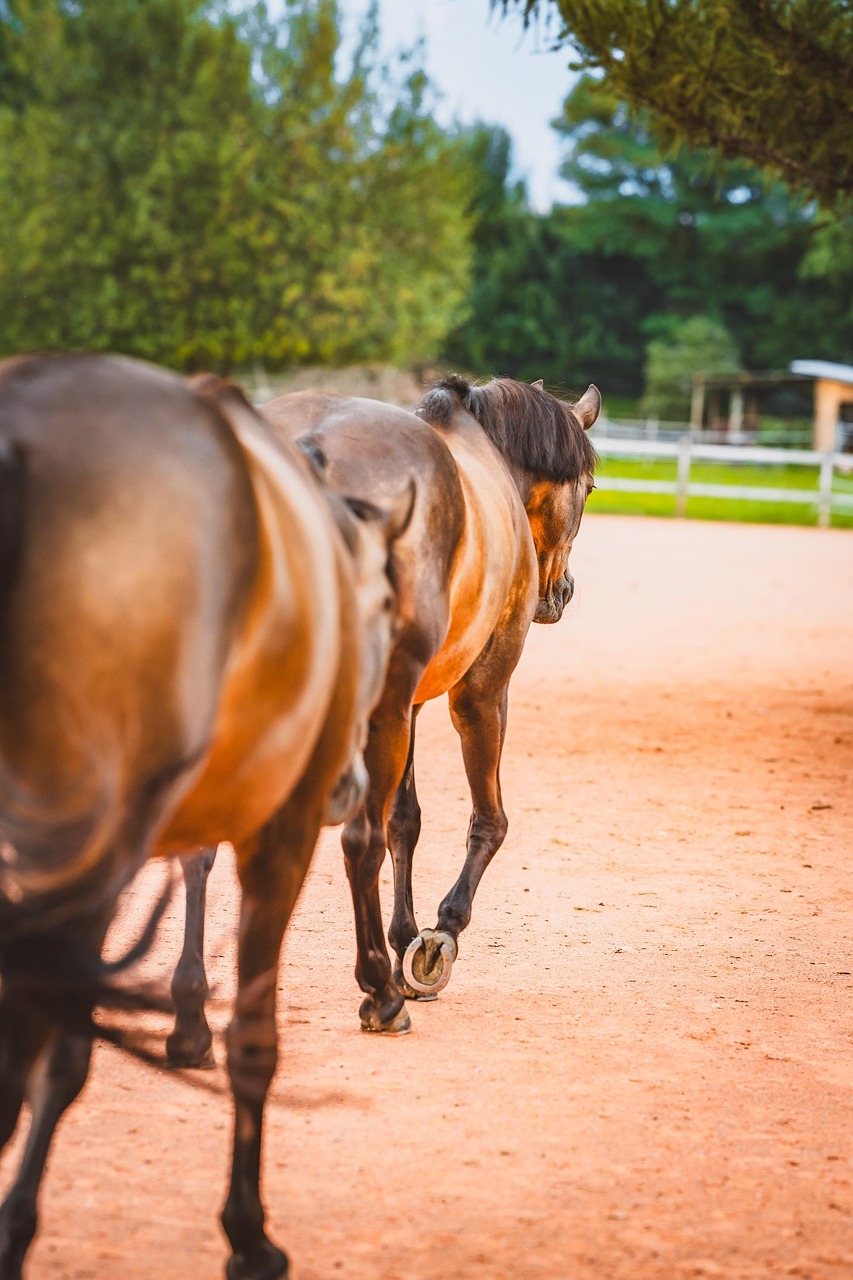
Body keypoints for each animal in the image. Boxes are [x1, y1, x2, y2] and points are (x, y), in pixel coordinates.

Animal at [251, 373, 600, 1034]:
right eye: (591, 488)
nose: (563, 592)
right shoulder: (481, 690)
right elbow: (488, 821)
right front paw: (436, 941)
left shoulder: (407, 706)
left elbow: (405, 821)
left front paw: (404, 938)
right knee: (358, 842)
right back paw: (379, 996)